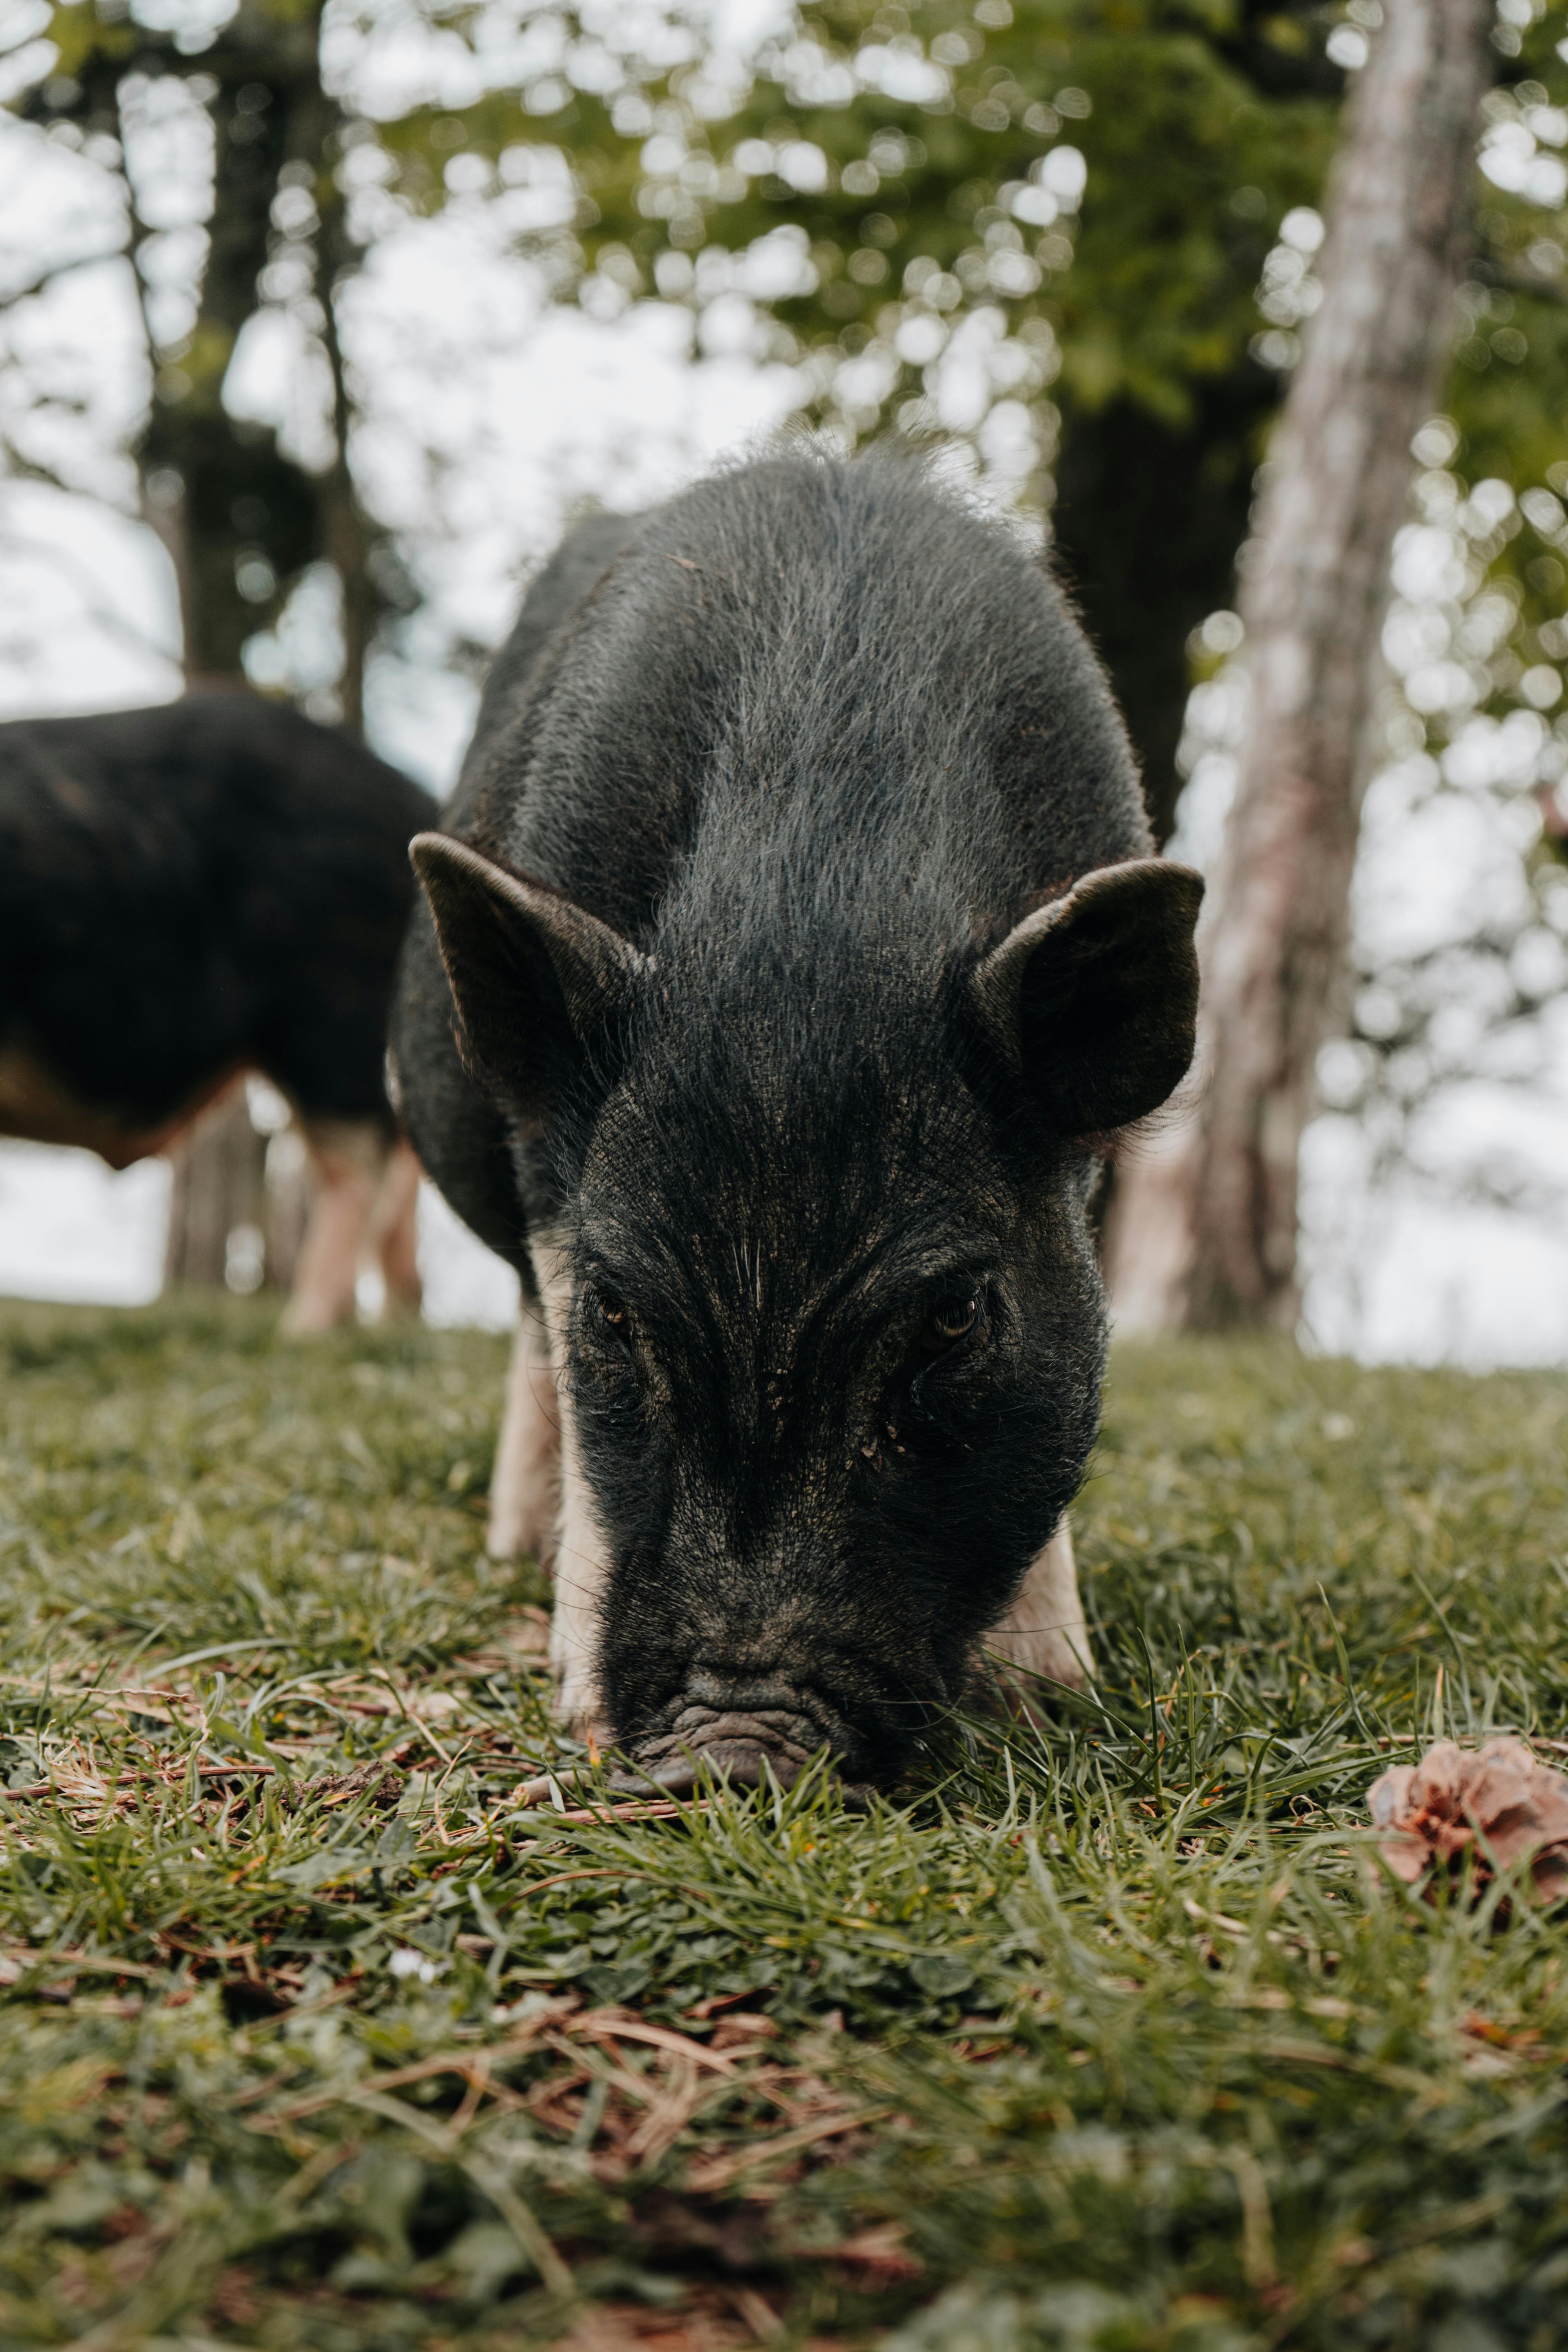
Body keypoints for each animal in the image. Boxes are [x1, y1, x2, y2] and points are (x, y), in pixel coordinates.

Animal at [0, 693, 432, 1330]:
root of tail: (413, 802)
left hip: (330, 1003)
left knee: (360, 1163)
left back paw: (304, 1331)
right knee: (396, 1150)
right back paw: (393, 1321)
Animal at [393, 453, 1202, 1791]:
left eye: (955, 1314)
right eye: (617, 1311)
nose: (732, 1747)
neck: (815, 906)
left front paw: (1052, 1698)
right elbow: (566, 1356)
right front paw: (575, 1709)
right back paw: (512, 1543)